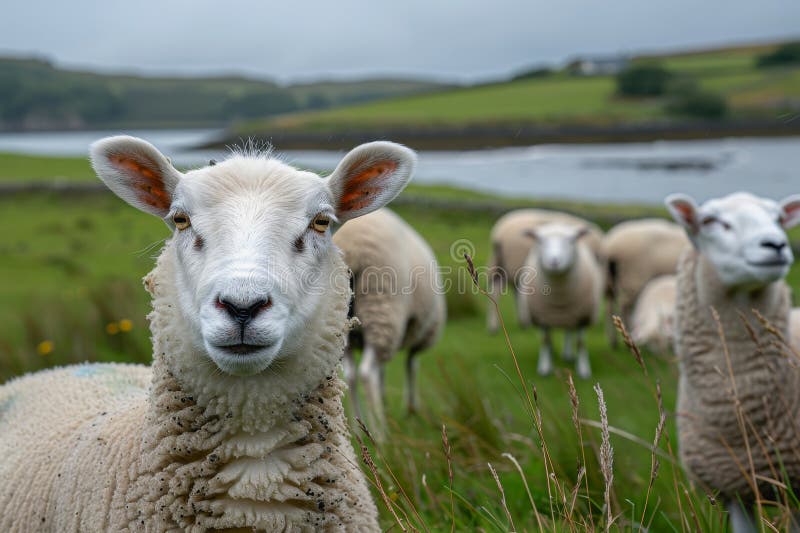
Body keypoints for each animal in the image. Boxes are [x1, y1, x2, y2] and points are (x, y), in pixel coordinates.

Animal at [333, 208, 445, 433]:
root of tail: (350, 247)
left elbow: (384, 373)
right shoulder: (420, 338)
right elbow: (412, 365)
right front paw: (411, 409)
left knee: (351, 375)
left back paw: (358, 428)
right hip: (382, 306)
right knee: (366, 373)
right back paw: (379, 431)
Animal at [519, 222, 603, 379]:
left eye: (571, 240)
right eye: (540, 240)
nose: (554, 261)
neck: (559, 298)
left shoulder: (583, 316)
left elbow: (580, 342)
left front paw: (584, 370)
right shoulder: (542, 317)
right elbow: (545, 340)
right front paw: (544, 367)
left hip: (573, 315)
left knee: (569, 330)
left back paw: (568, 354)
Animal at [603, 218, 689, 347]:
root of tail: (611, 246)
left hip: (610, 280)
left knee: (609, 305)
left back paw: (614, 340)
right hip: (632, 278)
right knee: (625, 306)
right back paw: (629, 332)